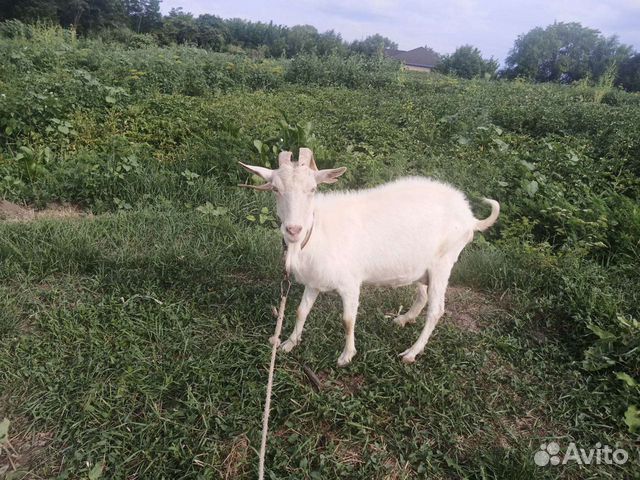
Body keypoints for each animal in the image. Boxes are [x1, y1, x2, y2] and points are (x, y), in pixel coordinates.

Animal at [239, 149, 499, 366]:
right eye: (275, 189)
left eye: (312, 189)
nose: (293, 229)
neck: (317, 231)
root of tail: (469, 216)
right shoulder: (315, 280)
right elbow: (301, 311)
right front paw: (289, 343)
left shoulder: (350, 282)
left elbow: (347, 319)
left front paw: (346, 356)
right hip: (421, 266)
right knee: (423, 295)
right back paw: (403, 319)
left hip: (443, 263)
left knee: (436, 310)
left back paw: (411, 352)